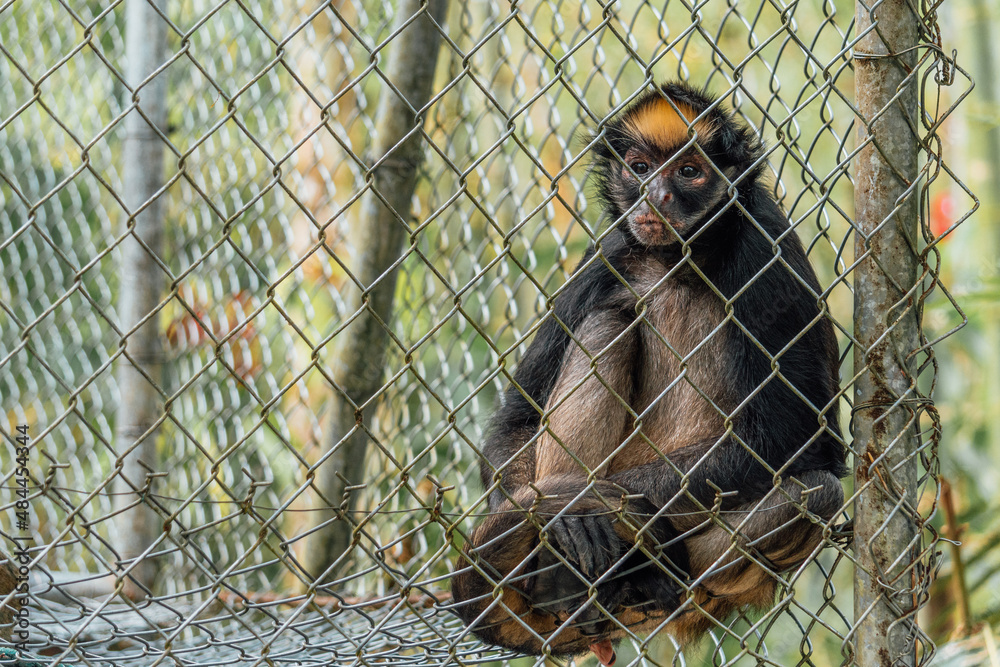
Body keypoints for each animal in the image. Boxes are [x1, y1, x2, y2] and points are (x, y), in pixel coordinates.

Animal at [450, 82, 846, 664]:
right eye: (639, 167)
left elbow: (805, 443)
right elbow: (516, 421)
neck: (679, 261)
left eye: (689, 172)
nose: (653, 196)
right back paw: (567, 582)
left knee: (814, 494)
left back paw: (639, 573)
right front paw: (569, 512)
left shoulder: (764, 244)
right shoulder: (613, 250)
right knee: (608, 321)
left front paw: (581, 504)